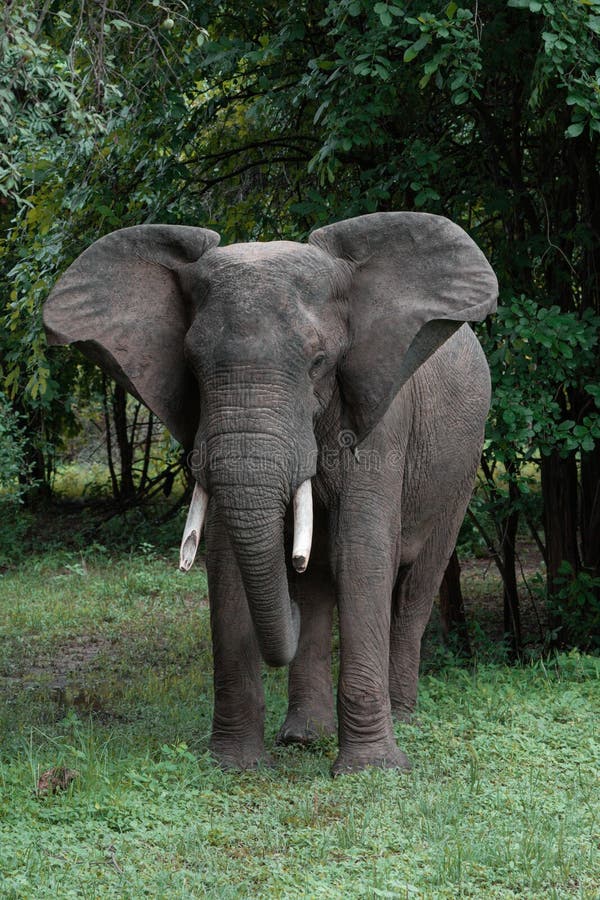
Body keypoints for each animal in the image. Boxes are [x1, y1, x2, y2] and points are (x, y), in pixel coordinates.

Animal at [43, 212, 497, 774]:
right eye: (191, 365)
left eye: (319, 361)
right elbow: (225, 556)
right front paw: (234, 765)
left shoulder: (381, 418)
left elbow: (363, 552)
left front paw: (372, 772)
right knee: (317, 581)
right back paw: (302, 736)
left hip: (461, 466)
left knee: (415, 585)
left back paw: (402, 717)